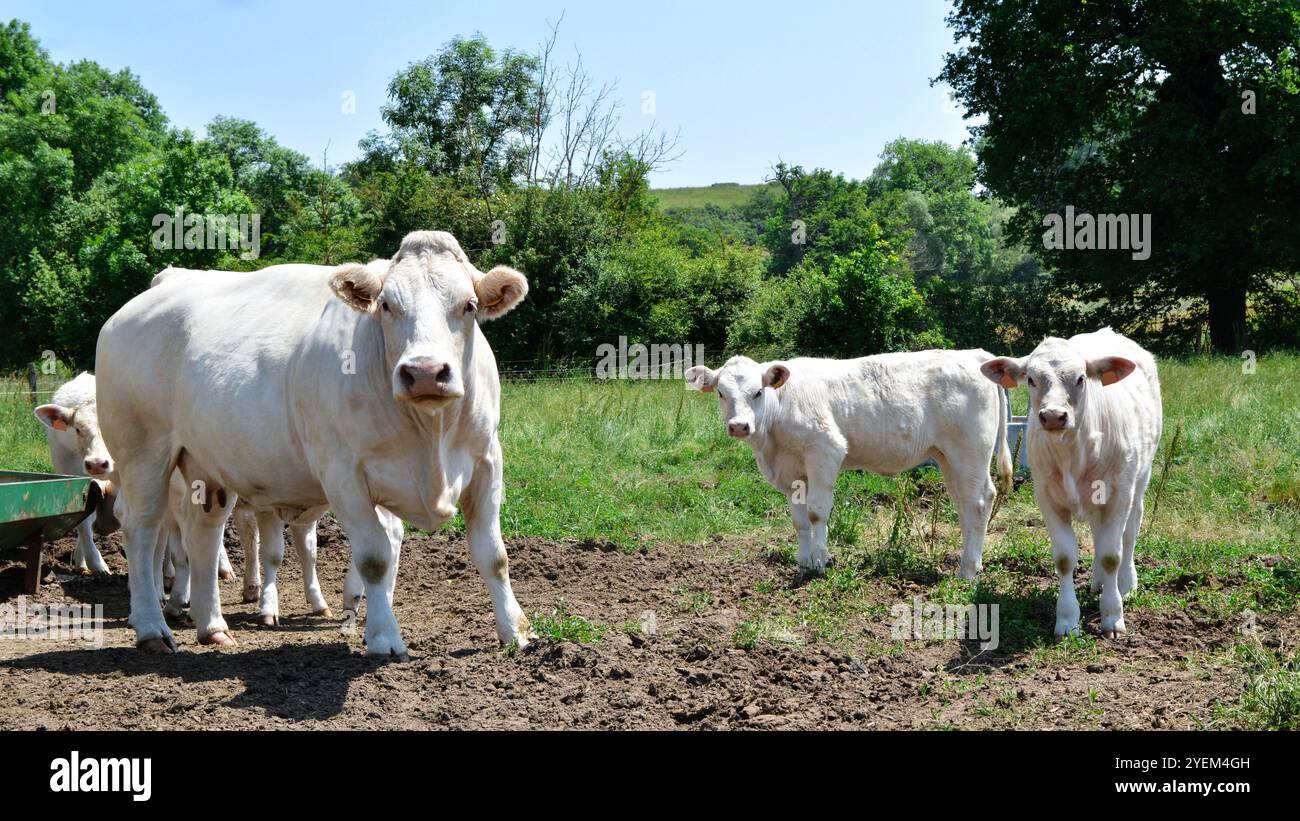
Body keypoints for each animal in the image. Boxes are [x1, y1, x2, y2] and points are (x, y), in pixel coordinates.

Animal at [96, 230, 534, 658]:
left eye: (469, 305)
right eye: (387, 305)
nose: (425, 372)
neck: (430, 434)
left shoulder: (487, 462)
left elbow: (493, 555)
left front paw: (515, 631)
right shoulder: (343, 475)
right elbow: (374, 558)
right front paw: (383, 638)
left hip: (206, 464)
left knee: (204, 532)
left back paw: (213, 627)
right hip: (143, 452)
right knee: (142, 528)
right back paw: (152, 627)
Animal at [686, 350, 1012, 580]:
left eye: (758, 392)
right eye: (721, 393)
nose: (739, 426)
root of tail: (974, 354)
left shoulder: (825, 451)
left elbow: (816, 513)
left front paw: (819, 563)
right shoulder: (791, 473)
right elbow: (799, 521)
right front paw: (803, 563)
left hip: (970, 452)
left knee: (980, 501)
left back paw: (967, 571)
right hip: (948, 457)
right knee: (964, 503)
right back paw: (971, 563)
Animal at [979, 328, 1162, 639]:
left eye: (1080, 378)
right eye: (1031, 379)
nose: (1053, 416)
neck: (1072, 455)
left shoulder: (1118, 495)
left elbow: (1112, 554)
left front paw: (1112, 615)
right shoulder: (1047, 498)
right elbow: (1065, 558)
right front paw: (1066, 619)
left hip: (1139, 479)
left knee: (1130, 531)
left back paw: (1125, 583)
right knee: (1099, 534)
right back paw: (1099, 582)